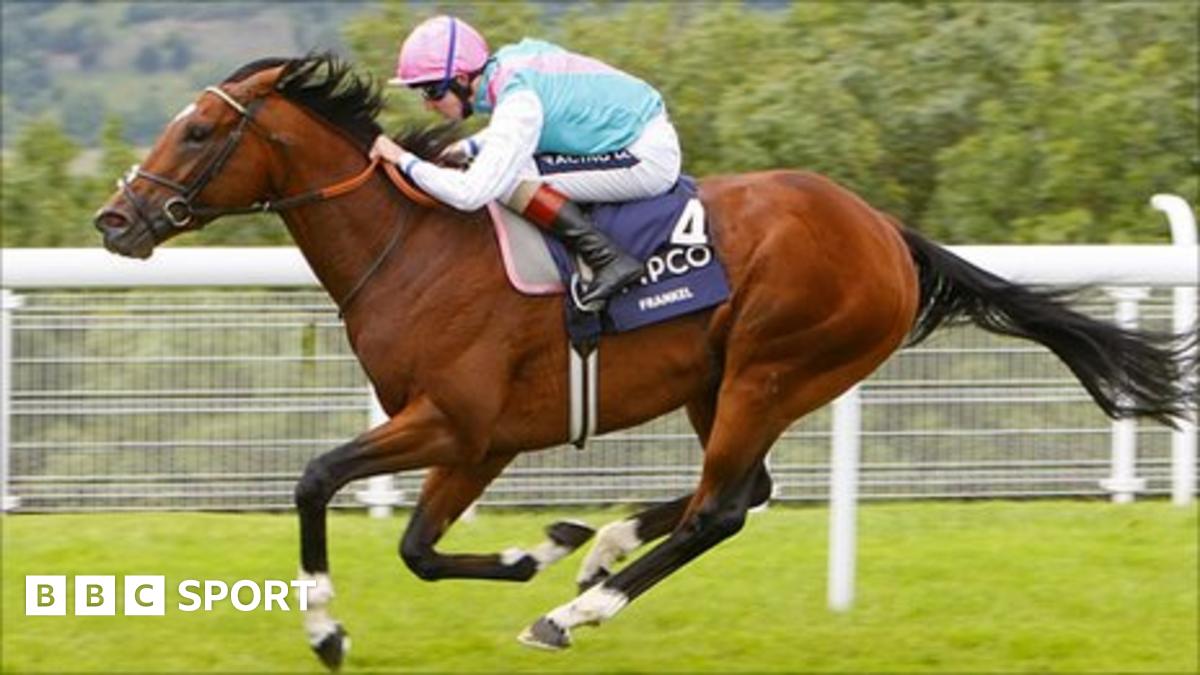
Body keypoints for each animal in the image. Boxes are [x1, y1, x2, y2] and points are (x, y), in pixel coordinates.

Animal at [93, 54, 1195, 670]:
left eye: (198, 130)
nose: (115, 220)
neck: (415, 245)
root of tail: (886, 231)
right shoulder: (472, 439)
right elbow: (413, 544)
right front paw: (541, 544)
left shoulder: (461, 423)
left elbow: (321, 481)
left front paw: (327, 632)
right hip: (728, 383)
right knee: (741, 491)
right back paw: (603, 545)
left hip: (771, 366)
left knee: (721, 507)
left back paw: (578, 606)